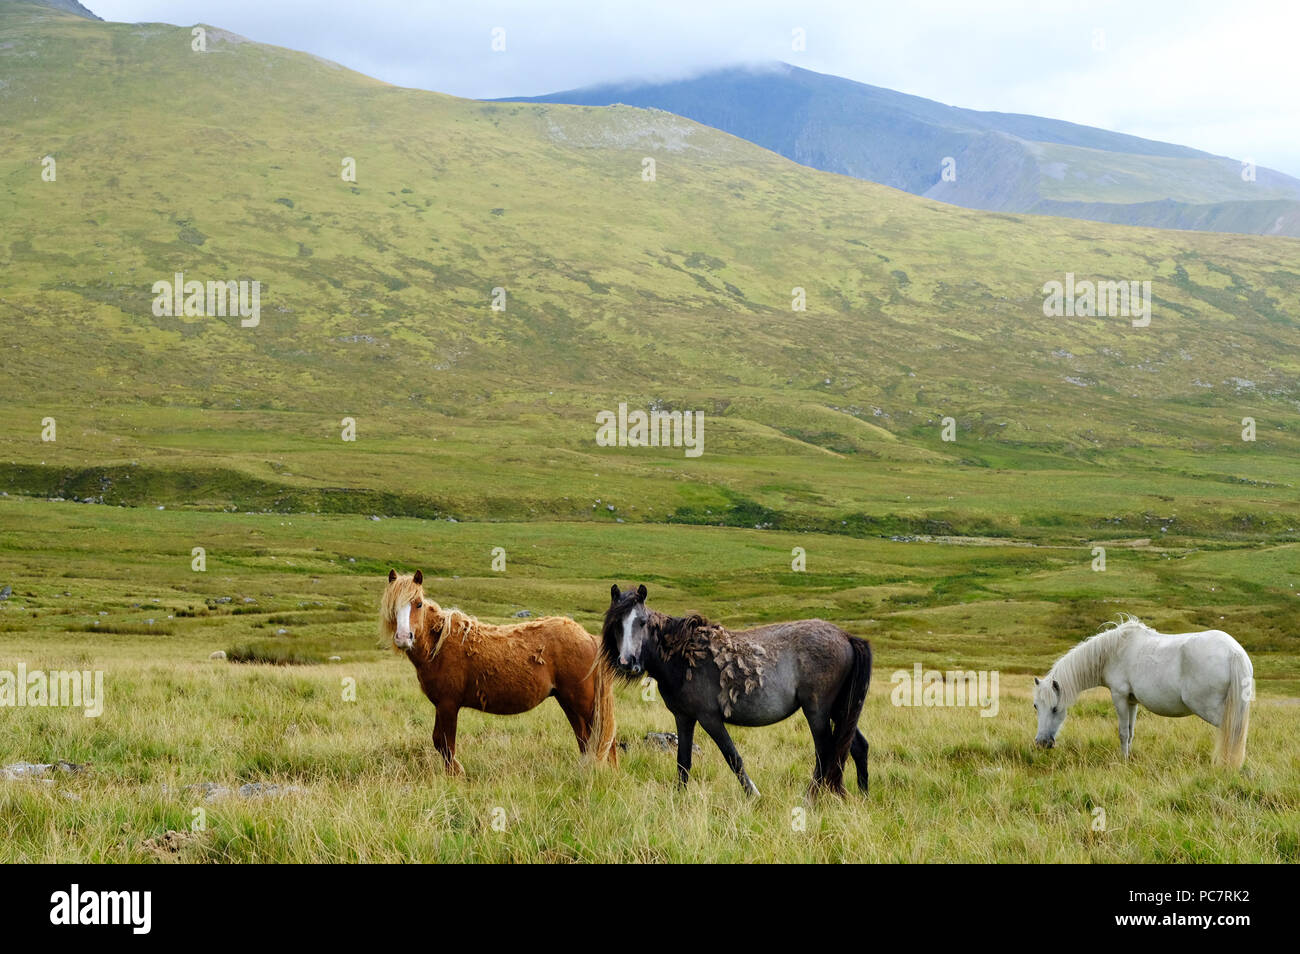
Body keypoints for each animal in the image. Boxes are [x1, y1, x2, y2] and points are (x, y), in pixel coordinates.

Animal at [379, 570, 618, 774]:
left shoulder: (448, 705)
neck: (440, 644)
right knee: (585, 740)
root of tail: (588, 637)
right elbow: (440, 742)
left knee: (606, 740)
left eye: (418, 604)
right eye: (393, 607)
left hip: (584, 703)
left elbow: (446, 745)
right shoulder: (441, 705)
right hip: (568, 702)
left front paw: (456, 777)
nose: (403, 637)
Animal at [602, 584, 872, 797]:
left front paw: (754, 796)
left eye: (642, 622)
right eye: (617, 624)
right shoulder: (684, 718)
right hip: (840, 709)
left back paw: (811, 799)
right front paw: (679, 799)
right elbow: (683, 762)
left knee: (825, 753)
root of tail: (846, 637)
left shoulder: (709, 718)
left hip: (817, 711)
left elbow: (733, 758)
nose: (628, 662)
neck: (681, 655)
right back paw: (862, 796)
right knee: (857, 747)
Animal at [1032, 615, 1253, 768]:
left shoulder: (1119, 697)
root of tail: (1234, 651)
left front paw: (1122, 762)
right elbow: (1130, 733)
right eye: (1036, 707)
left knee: (1230, 734)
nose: (1041, 743)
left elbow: (1122, 733)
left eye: (1055, 708)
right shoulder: (1132, 701)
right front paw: (1128, 759)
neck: (1113, 652)